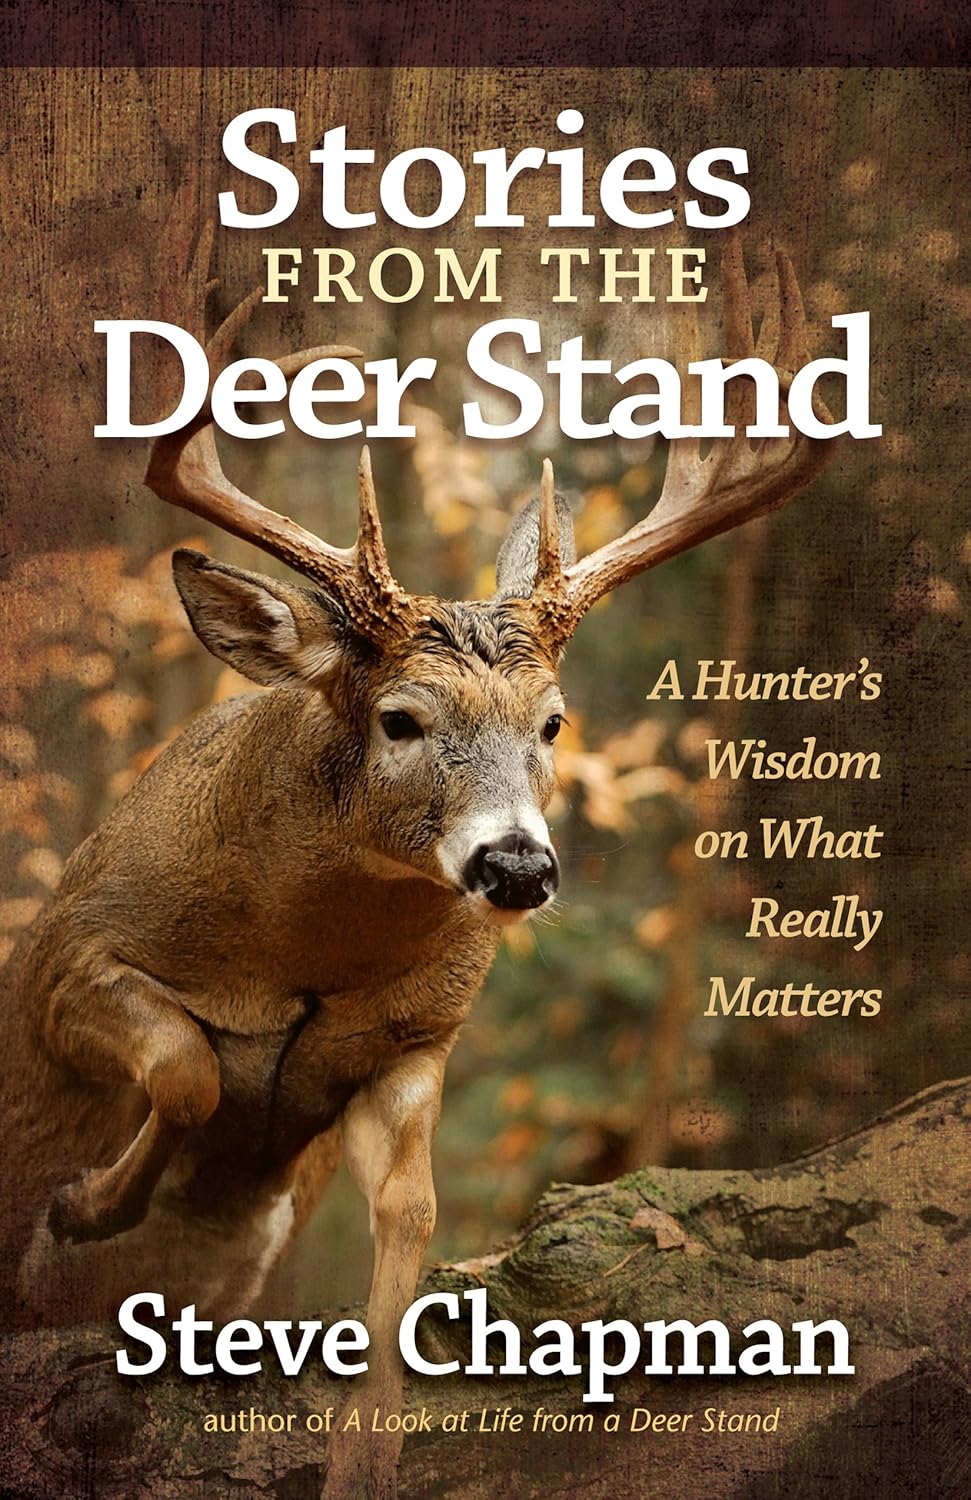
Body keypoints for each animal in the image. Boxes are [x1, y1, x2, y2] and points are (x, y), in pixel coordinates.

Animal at [0, 230, 834, 1499]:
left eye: (553, 723)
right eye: (399, 718)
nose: (516, 870)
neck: (298, 952)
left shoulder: (413, 1040)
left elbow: (412, 1209)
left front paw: (367, 1453)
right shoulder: (66, 958)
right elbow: (188, 1066)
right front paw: (78, 1210)